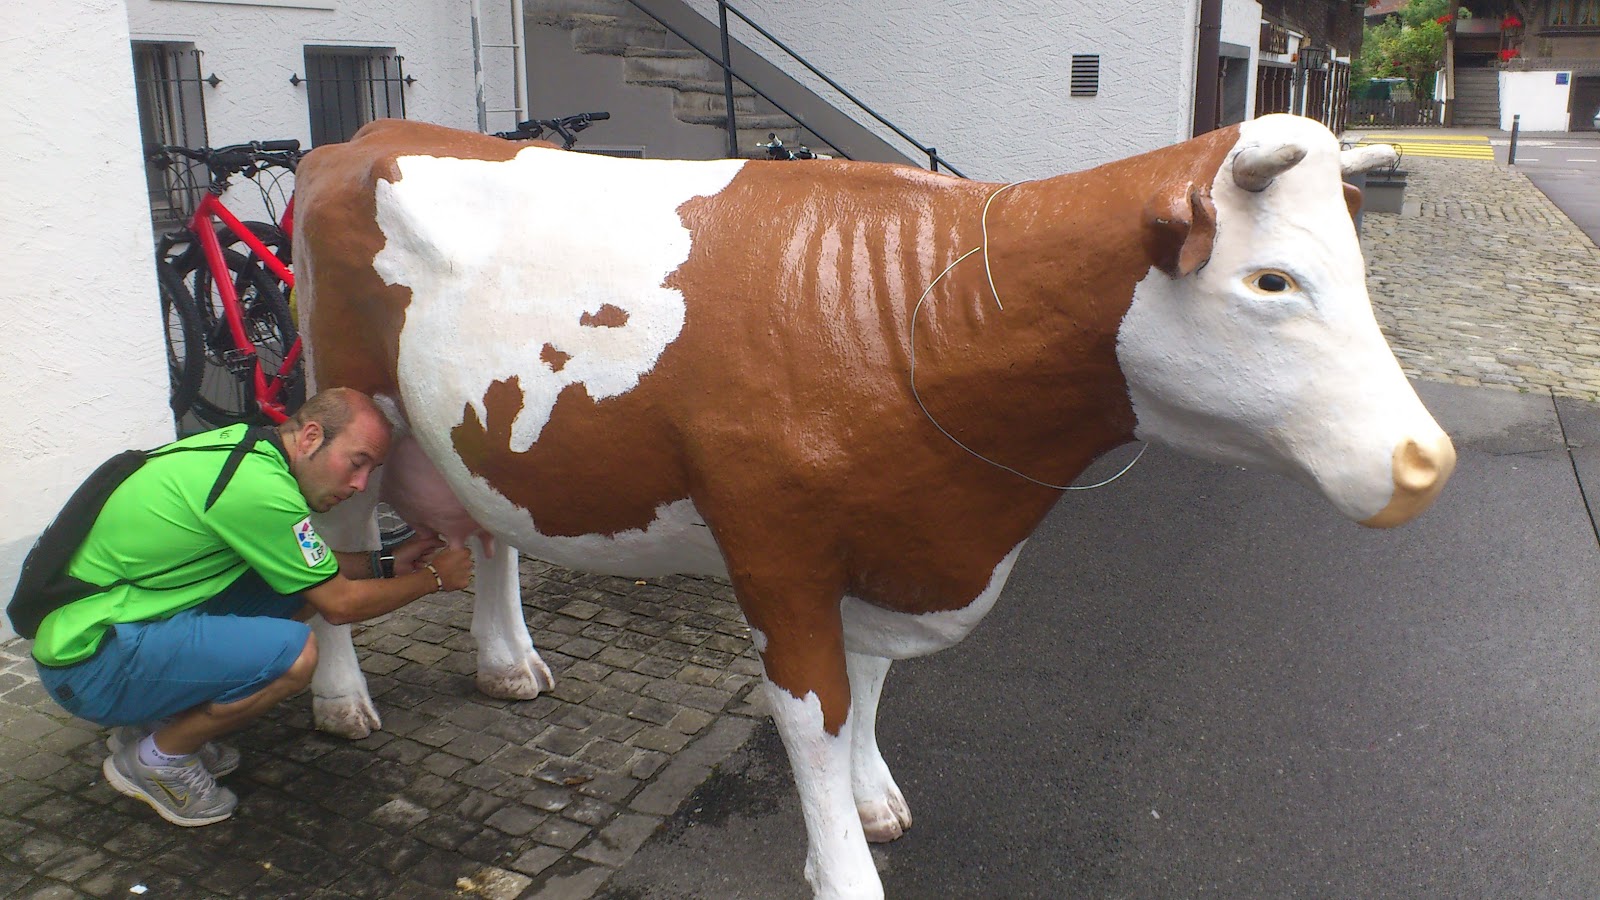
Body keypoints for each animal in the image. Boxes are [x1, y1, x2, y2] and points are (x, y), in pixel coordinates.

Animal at [291, 113, 1453, 899]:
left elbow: (874, 682)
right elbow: (817, 709)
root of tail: (371, 133)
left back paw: (504, 662)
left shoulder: (893, 534)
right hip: (352, 404)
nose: (1424, 461)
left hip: (463, 424)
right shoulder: (780, 549)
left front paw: (871, 796)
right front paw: (842, 861)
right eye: (1272, 282)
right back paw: (342, 702)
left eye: (1354, 271)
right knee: (334, 553)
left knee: (487, 530)